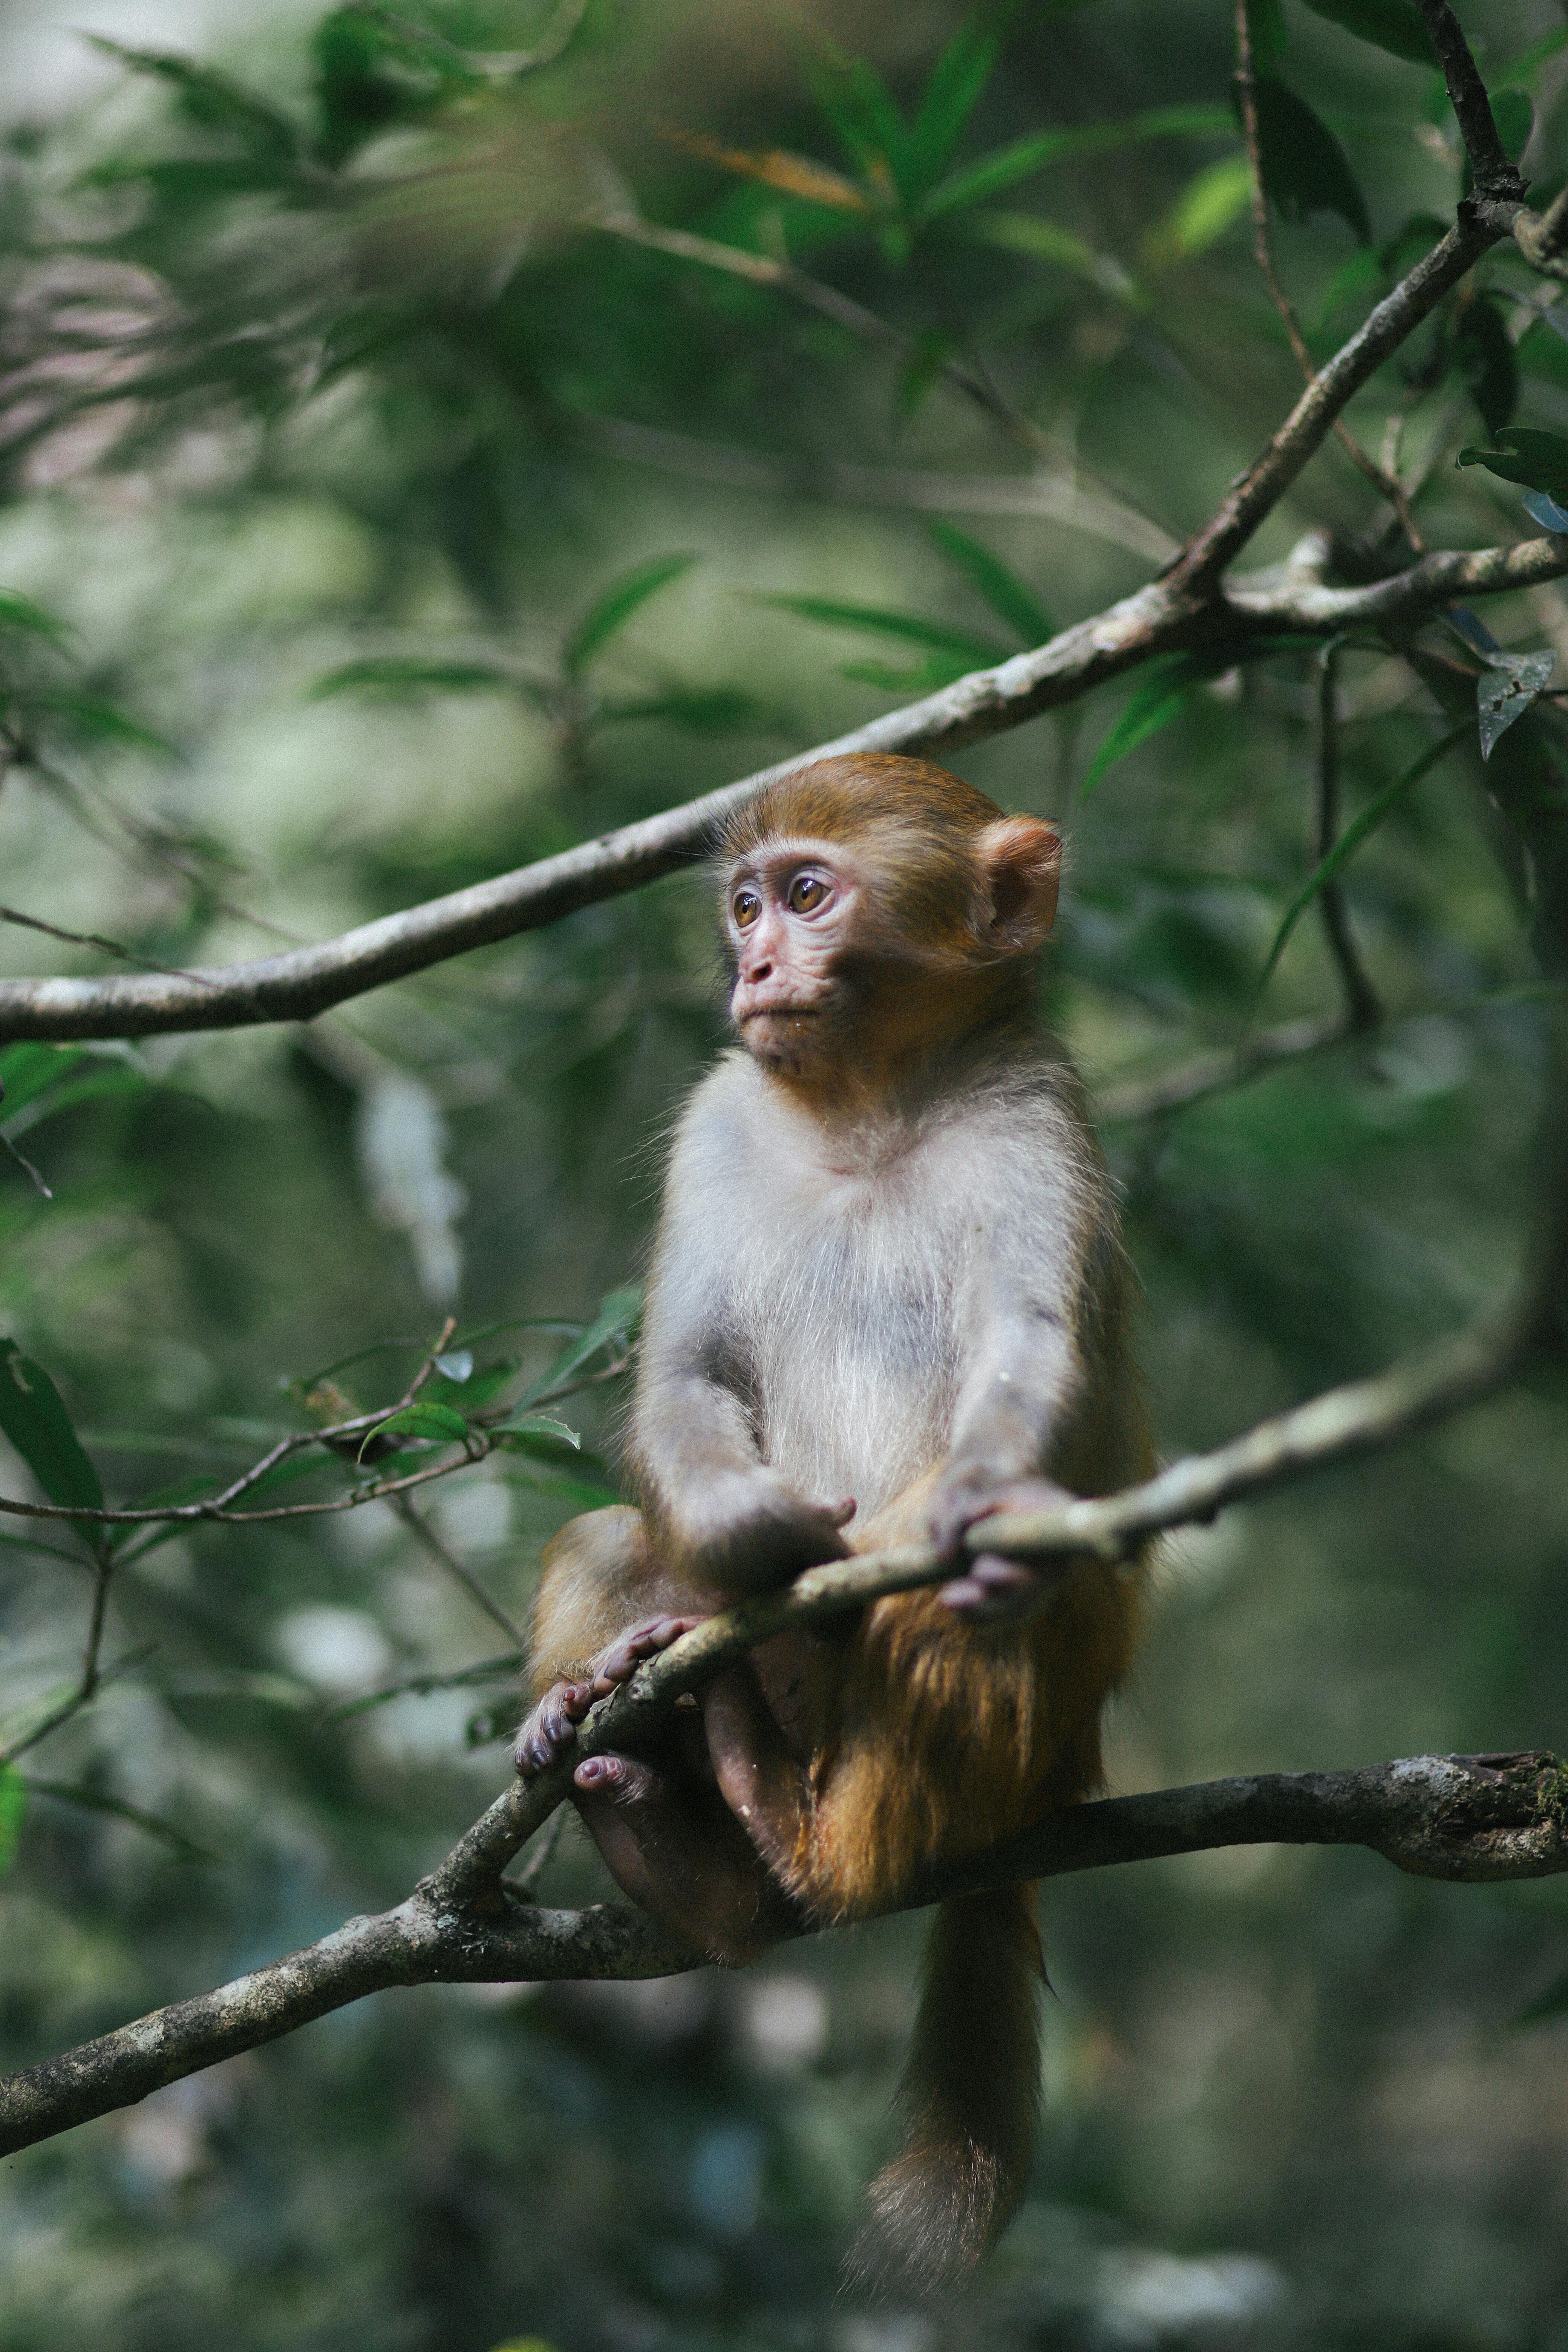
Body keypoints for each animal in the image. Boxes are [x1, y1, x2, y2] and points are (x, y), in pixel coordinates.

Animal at [515, 752, 1153, 2293]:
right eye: (746, 904)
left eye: (809, 893)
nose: (751, 960)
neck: (867, 1111)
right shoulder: (721, 1115)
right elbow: (684, 1379)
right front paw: (756, 1537)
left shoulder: (1032, 1113)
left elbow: (1029, 1352)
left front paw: (932, 1530)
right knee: (614, 1546)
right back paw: (685, 1837)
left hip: (1035, 1731)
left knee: (970, 1622)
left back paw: (809, 1827)